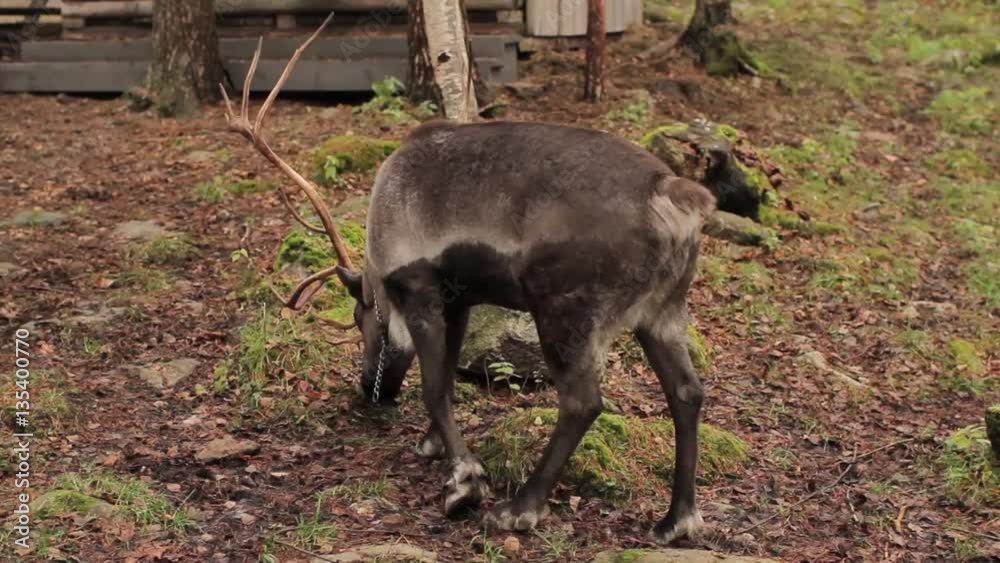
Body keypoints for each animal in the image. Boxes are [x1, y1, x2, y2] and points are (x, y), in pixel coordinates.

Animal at [220, 15, 717, 543]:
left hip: (566, 308)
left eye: (359, 318)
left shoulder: (420, 288)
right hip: (663, 310)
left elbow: (433, 385)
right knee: (687, 392)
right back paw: (677, 519)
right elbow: (448, 381)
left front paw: (464, 479)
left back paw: (520, 507)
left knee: (583, 401)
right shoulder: (459, 299)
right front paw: (434, 445)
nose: (368, 387)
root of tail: (674, 196)